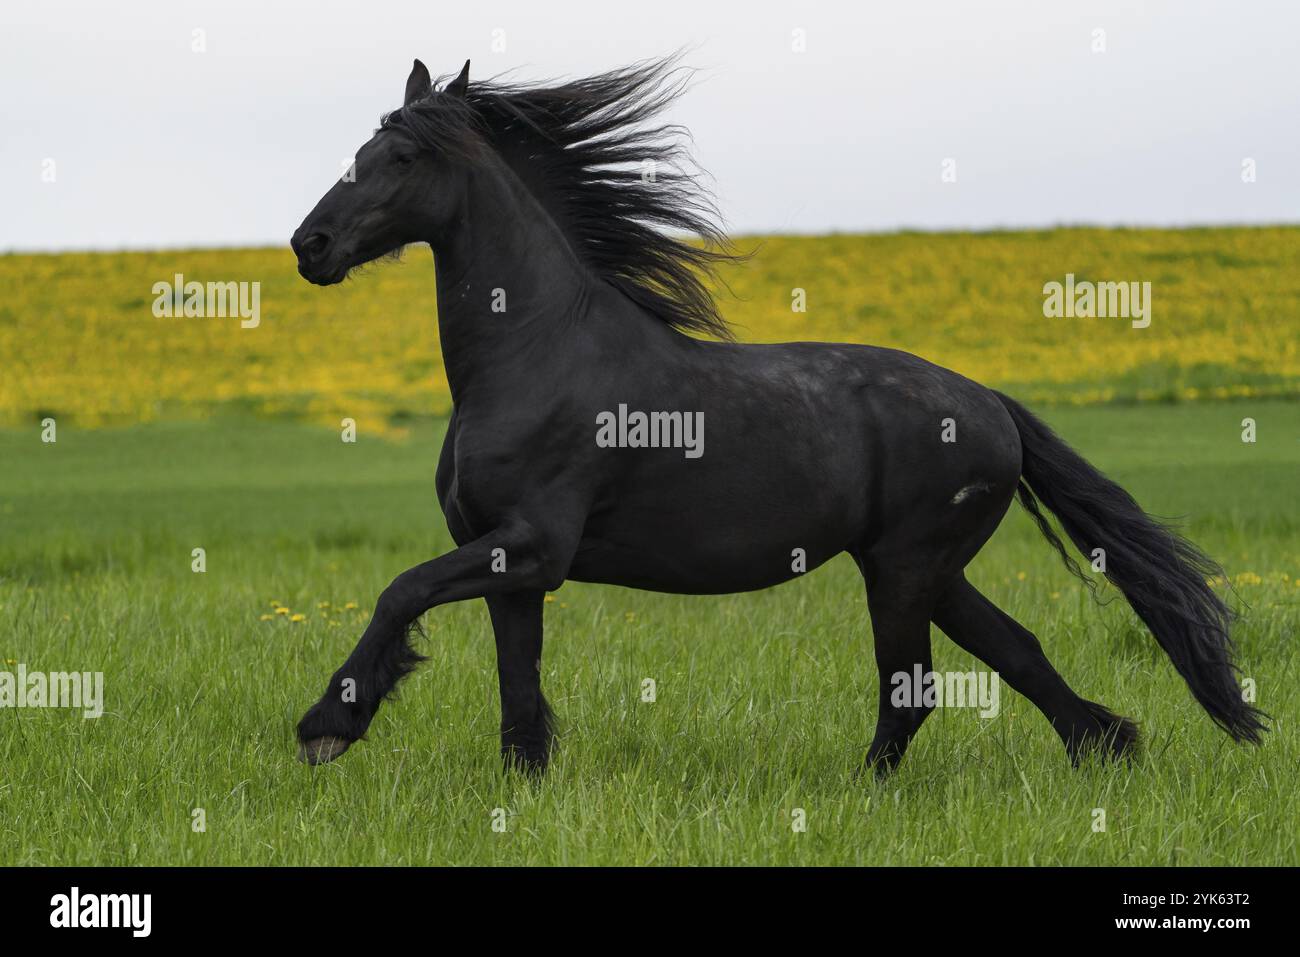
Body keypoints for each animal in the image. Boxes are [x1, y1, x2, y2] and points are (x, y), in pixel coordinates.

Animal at [290, 57, 1266, 775]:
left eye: (403, 158)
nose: (310, 245)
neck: (535, 357)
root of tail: (995, 407)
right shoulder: (512, 566)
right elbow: (517, 690)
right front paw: (523, 786)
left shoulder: (532, 543)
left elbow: (401, 589)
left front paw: (327, 724)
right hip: (925, 567)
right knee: (1015, 650)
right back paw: (1107, 750)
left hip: (905, 567)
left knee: (913, 684)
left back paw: (866, 789)